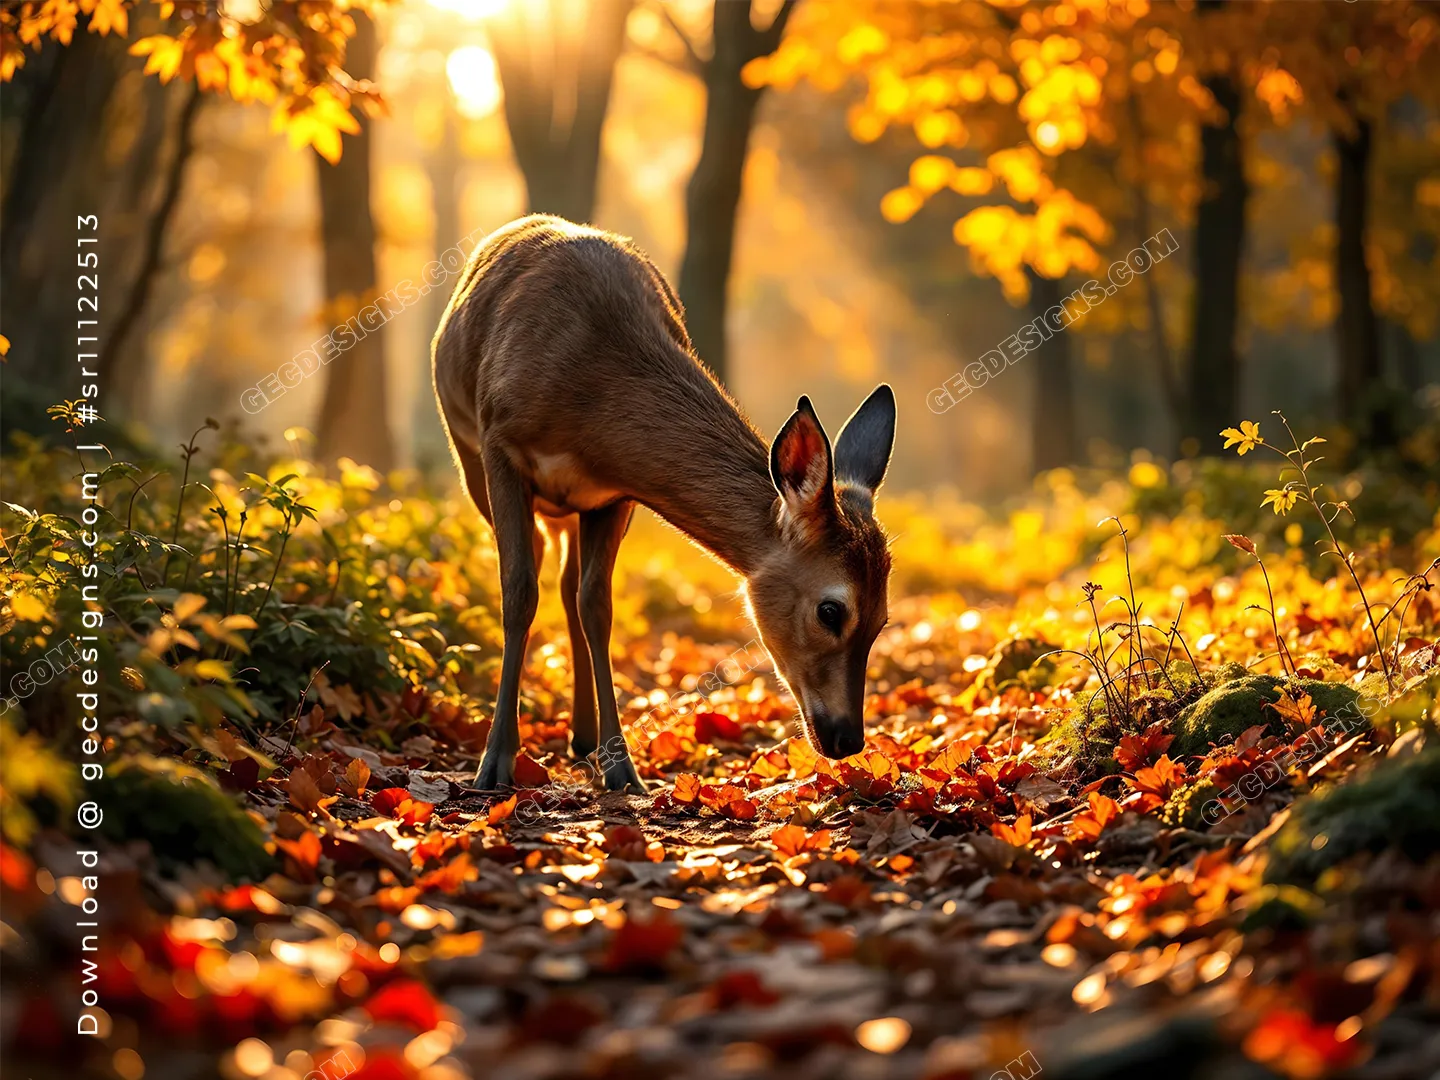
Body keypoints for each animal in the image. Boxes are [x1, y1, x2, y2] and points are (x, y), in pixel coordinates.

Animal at [432, 215, 896, 793]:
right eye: (831, 609)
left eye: (883, 618)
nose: (848, 739)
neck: (587, 403)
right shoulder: (499, 445)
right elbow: (517, 592)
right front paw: (494, 761)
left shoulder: (614, 493)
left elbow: (597, 606)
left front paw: (621, 768)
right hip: (469, 454)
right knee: (537, 568)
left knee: (569, 585)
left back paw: (583, 735)